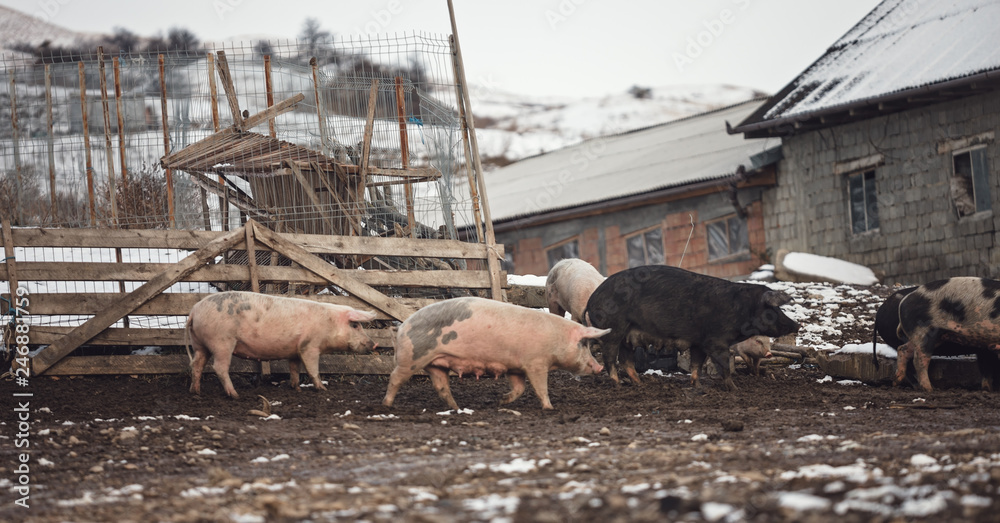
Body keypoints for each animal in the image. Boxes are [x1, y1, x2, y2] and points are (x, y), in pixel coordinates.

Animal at [186, 291, 378, 398]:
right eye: (355, 325)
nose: (374, 344)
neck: (330, 323)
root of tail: (194, 311)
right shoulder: (309, 346)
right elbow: (312, 370)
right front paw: (322, 389)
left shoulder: (294, 351)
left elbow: (294, 369)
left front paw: (296, 388)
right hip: (222, 342)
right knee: (219, 367)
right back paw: (235, 395)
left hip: (200, 344)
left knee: (196, 364)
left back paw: (196, 392)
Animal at [381, 297, 608, 410]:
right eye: (584, 345)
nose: (600, 367)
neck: (556, 337)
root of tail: (402, 327)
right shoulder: (535, 363)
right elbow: (540, 387)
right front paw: (549, 408)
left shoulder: (516, 367)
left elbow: (519, 388)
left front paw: (501, 401)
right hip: (412, 358)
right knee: (394, 378)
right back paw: (386, 405)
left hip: (435, 363)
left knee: (441, 386)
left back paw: (457, 408)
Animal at [585, 265, 799, 390]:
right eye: (773, 309)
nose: (796, 324)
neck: (742, 308)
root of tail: (592, 299)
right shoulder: (716, 341)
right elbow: (723, 365)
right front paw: (735, 389)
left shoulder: (699, 342)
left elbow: (697, 364)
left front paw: (696, 385)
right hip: (613, 331)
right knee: (610, 358)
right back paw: (618, 385)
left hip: (626, 336)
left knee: (626, 360)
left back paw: (641, 384)